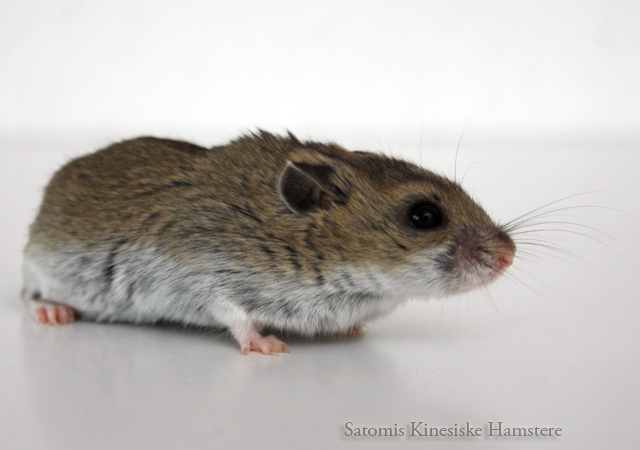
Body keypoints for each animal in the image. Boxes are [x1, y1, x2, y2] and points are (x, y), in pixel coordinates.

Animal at [21, 131, 515, 355]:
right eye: (424, 216)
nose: (509, 254)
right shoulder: (204, 277)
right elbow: (237, 318)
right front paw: (270, 347)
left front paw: (352, 330)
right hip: (40, 268)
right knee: (31, 296)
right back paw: (53, 313)